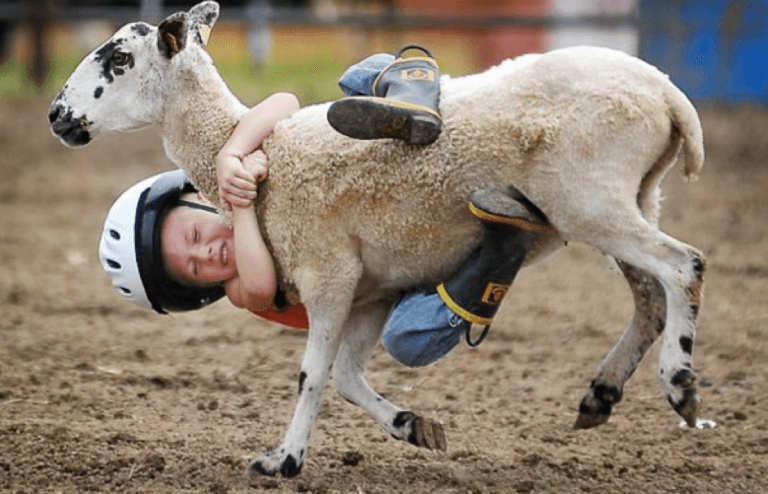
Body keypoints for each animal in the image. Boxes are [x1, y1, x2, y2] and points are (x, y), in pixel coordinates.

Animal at [49, 1, 706, 478]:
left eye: (118, 58)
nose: (56, 115)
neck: (263, 156)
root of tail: (668, 94)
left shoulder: (329, 275)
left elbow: (312, 375)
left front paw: (285, 460)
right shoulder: (371, 292)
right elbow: (344, 376)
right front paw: (412, 427)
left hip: (591, 199)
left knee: (684, 266)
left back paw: (679, 383)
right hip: (629, 197)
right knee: (650, 298)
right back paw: (602, 393)